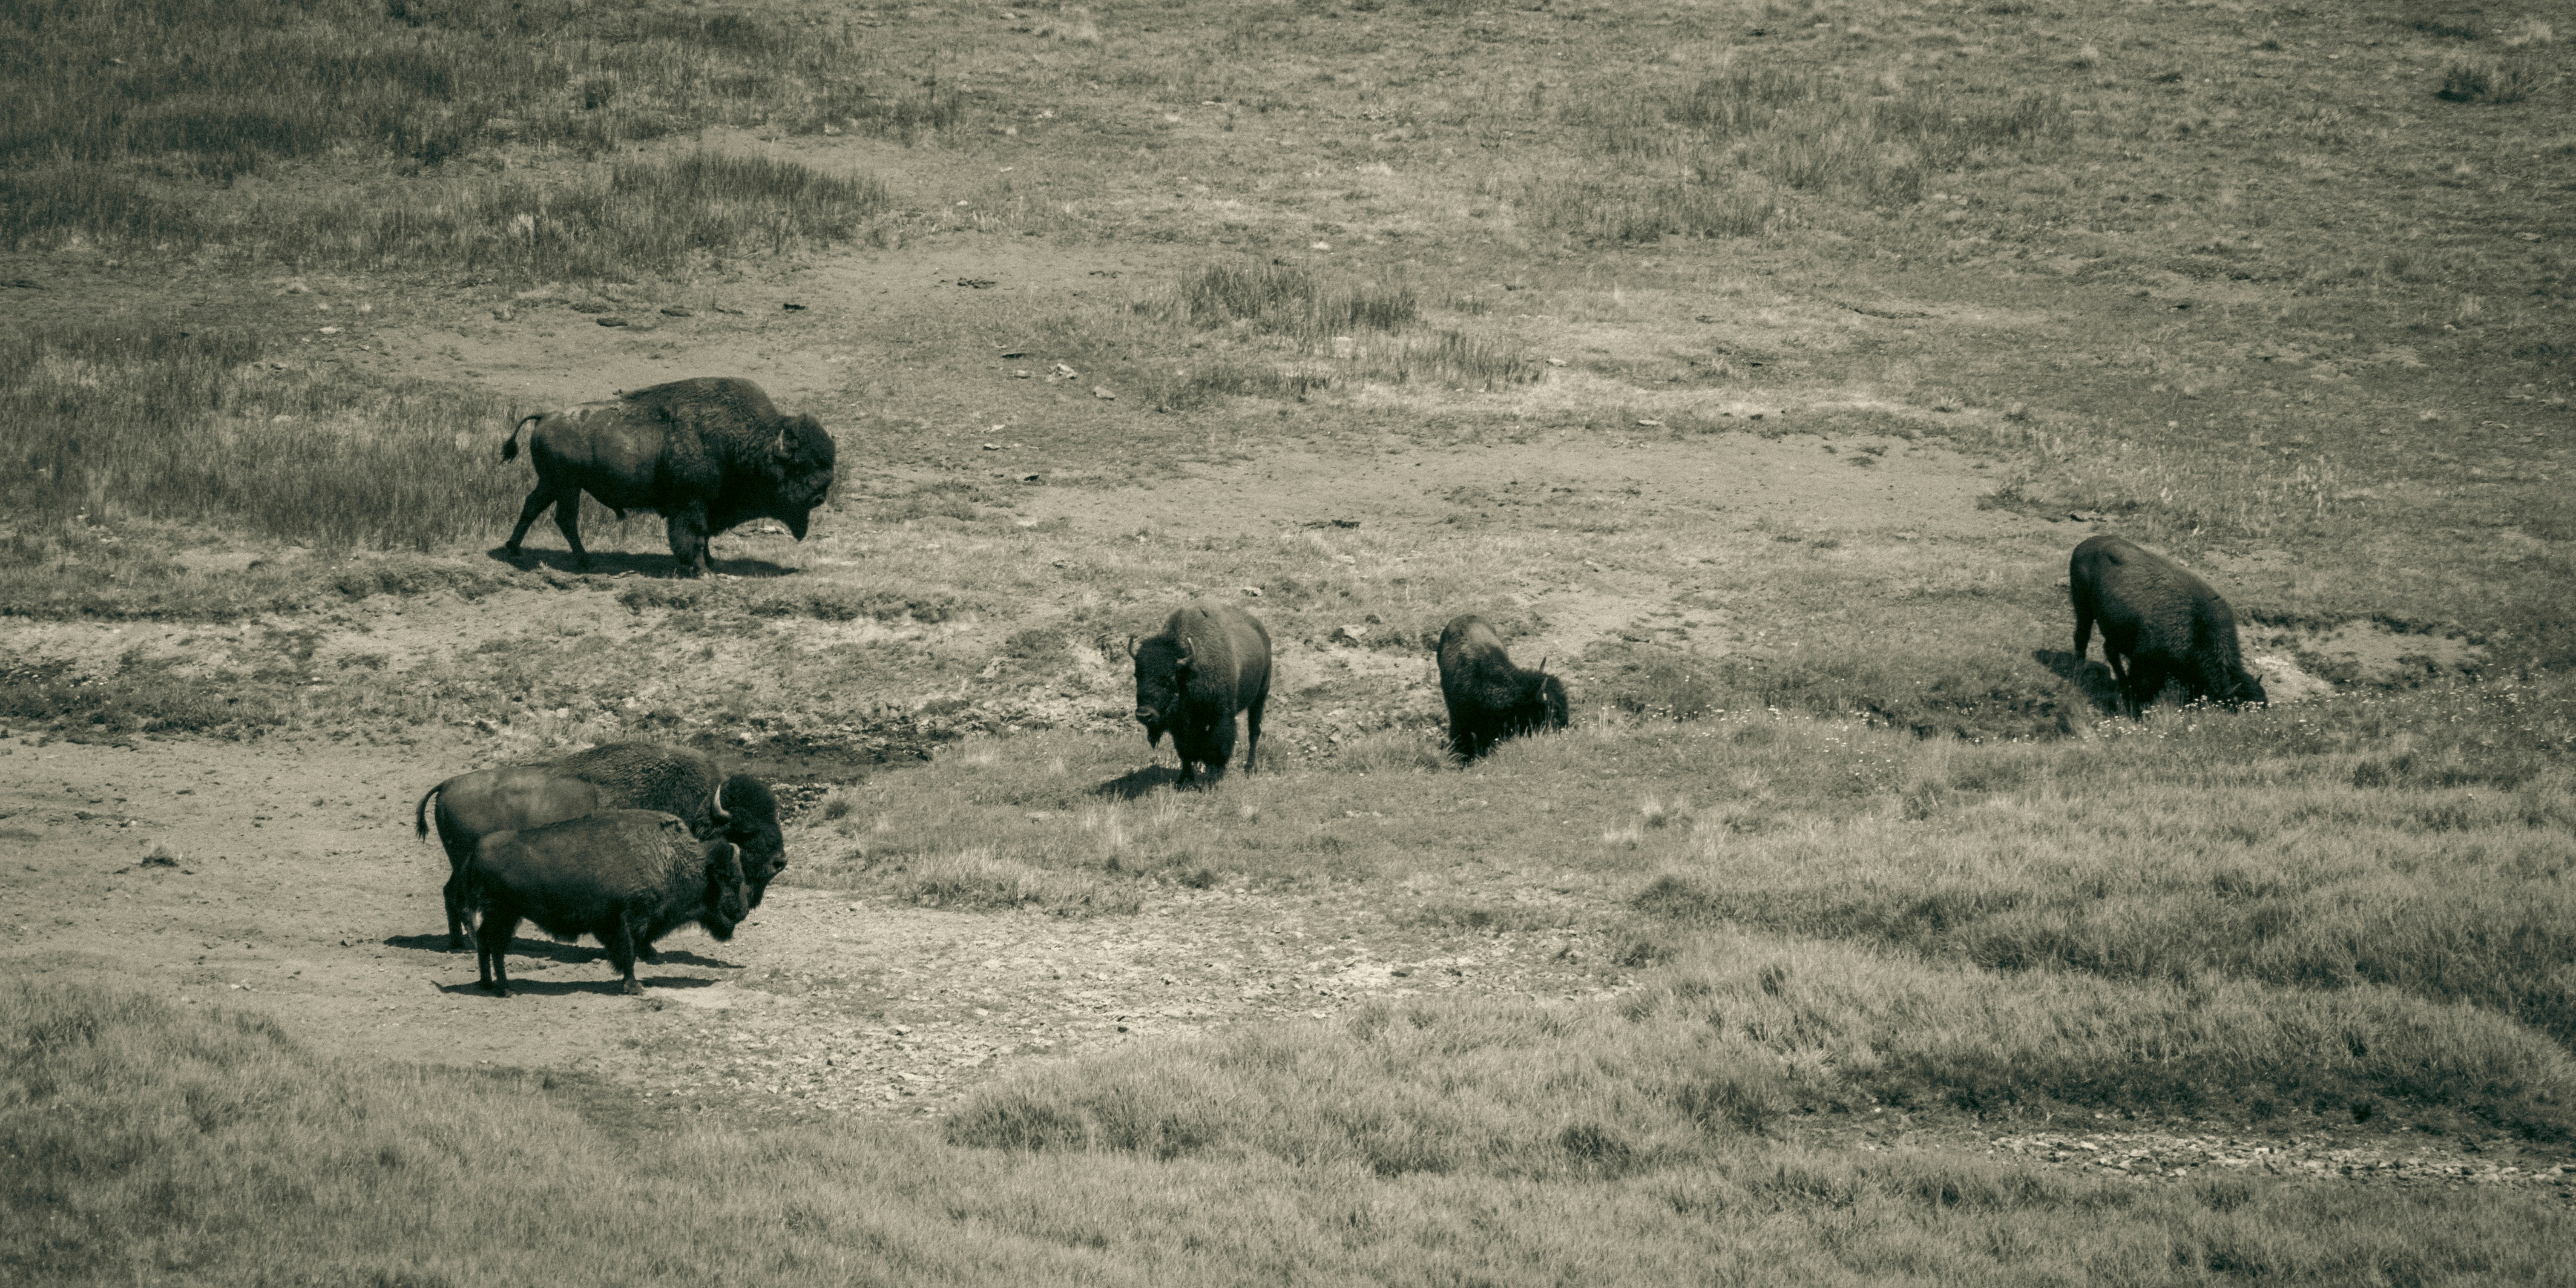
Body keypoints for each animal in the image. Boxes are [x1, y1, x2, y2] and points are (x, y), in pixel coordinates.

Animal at [416, 742, 785, 952]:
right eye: (746, 828)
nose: (779, 862)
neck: (700, 808)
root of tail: (447, 784)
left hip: (459, 865)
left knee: (449, 894)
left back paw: (458, 944)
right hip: (465, 865)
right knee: (460, 899)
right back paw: (470, 944)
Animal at [463, 811, 748, 997]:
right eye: (733, 878)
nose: (744, 911)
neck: (672, 859)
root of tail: (476, 850)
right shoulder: (631, 920)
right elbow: (630, 953)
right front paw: (634, 987)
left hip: (503, 915)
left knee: (485, 941)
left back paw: (487, 984)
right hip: (504, 914)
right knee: (496, 946)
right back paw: (506, 989)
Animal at [503, 376, 836, 577]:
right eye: (801, 467)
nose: (820, 496)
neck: (746, 441)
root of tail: (545, 416)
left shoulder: (707, 505)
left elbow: (704, 536)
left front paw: (711, 563)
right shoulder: (692, 504)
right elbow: (694, 536)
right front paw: (702, 571)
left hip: (551, 484)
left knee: (532, 507)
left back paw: (513, 550)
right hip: (567, 487)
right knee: (565, 519)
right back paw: (585, 562)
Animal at [1129, 603, 1272, 786]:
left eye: (1168, 679)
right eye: (1137, 676)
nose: (1144, 715)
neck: (1189, 671)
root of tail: (1263, 634)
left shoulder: (1221, 716)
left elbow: (1219, 746)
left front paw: (1213, 779)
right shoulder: (1181, 726)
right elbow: (1185, 751)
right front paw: (1184, 780)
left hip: (1260, 696)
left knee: (1254, 732)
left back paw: (1249, 769)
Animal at [2070, 534, 2267, 718]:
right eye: (2235, 707)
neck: (2197, 624)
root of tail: (2083, 546)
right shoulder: (2145, 661)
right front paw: (2138, 713)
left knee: (2109, 651)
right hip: (2083, 608)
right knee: (2082, 637)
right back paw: (2079, 672)